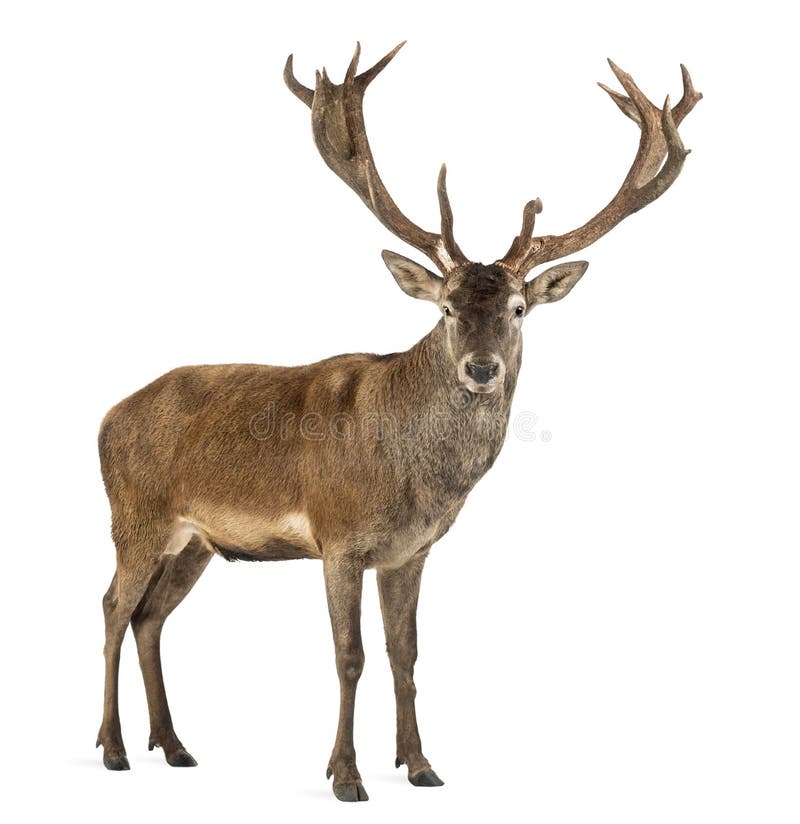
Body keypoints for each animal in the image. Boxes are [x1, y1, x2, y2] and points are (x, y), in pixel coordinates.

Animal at [96, 42, 701, 802]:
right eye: (444, 308)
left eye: (519, 309)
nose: (481, 368)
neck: (414, 481)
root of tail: (105, 418)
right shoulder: (338, 537)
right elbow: (349, 655)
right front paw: (345, 775)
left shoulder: (410, 551)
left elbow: (405, 654)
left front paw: (420, 765)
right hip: (135, 516)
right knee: (112, 607)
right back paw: (114, 748)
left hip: (196, 541)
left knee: (149, 617)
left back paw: (174, 746)